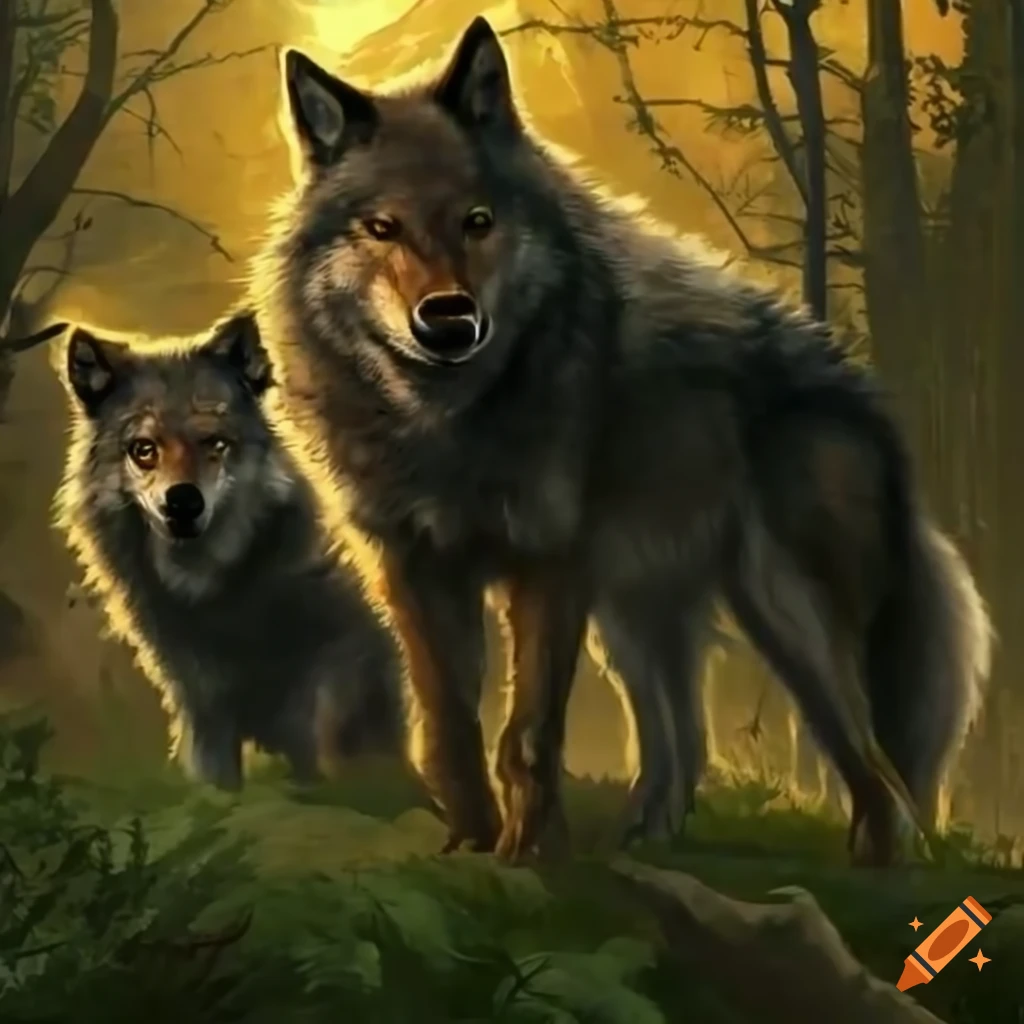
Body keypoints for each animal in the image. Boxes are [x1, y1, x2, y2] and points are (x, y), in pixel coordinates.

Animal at [53, 311, 404, 790]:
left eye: (215, 443)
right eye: (144, 450)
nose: (183, 502)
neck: (206, 588)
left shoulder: (329, 673)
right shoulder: (202, 704)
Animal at [250, 17, 991, 863]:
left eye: (478, 220)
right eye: (383, 228)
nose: (449, 321)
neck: (443, 420)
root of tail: (863, 392)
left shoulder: (548, 564)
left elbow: (527, 735)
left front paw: (529, 857)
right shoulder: (415, 568)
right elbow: (448, 731)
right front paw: (471, 847)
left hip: (784, 610)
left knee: (878, 769)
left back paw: (878, 868)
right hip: (635, 618)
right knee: (685, 742)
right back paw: (644, 842)